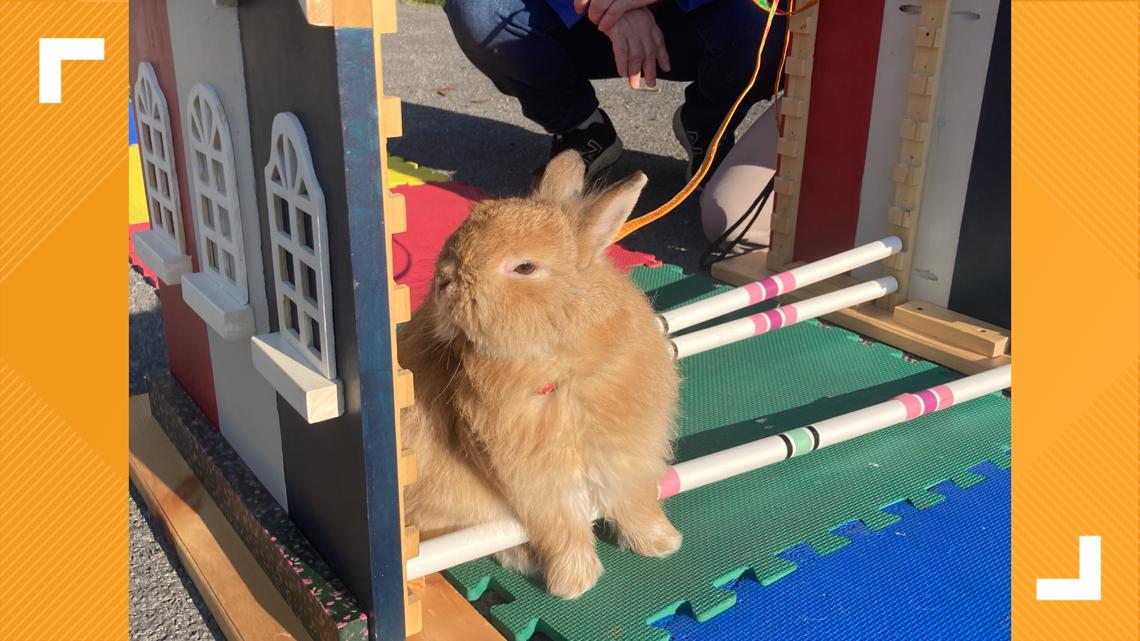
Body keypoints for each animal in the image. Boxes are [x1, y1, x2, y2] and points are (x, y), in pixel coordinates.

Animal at [398, 151, 682, 599]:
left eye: (525, 267)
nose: (444, 280)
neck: (560, 359)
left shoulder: (627, 457)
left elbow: (634, 502)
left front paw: (661, 543)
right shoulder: (535, 479)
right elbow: (561, 527)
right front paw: (575, 583)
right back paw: (524, 557)